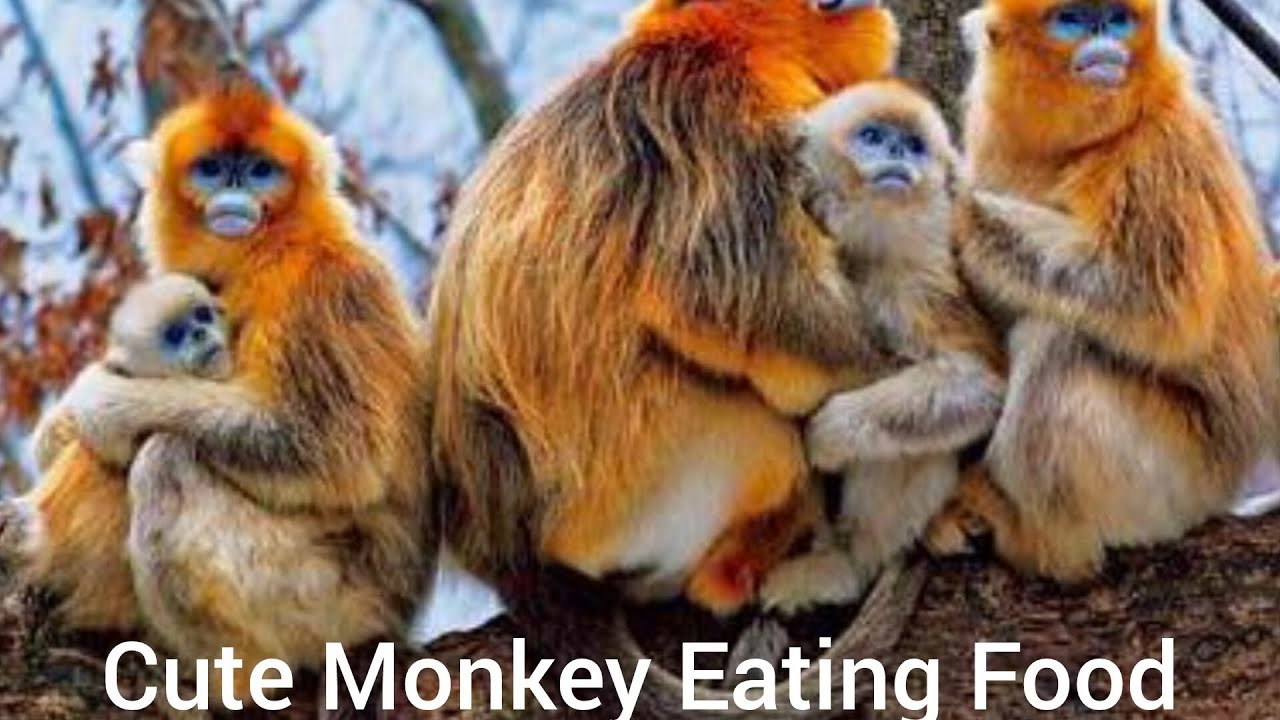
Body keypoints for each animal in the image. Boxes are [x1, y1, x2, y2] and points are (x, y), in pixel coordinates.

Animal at [752, 81, 1008, 613]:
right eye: (872, 137)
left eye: (913, 145)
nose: (895, 153)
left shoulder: (917, 282)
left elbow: (978, 383)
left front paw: (829, 434)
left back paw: (851, 562)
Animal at [939, 0, 1280, 581]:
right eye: (1073, 20)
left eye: (1116, 18)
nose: (1105, 39)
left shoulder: (1159, 148)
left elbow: (1148, 296)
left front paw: (953, 202)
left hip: (1178, 475)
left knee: (1059, 341)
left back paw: (1044, 541)